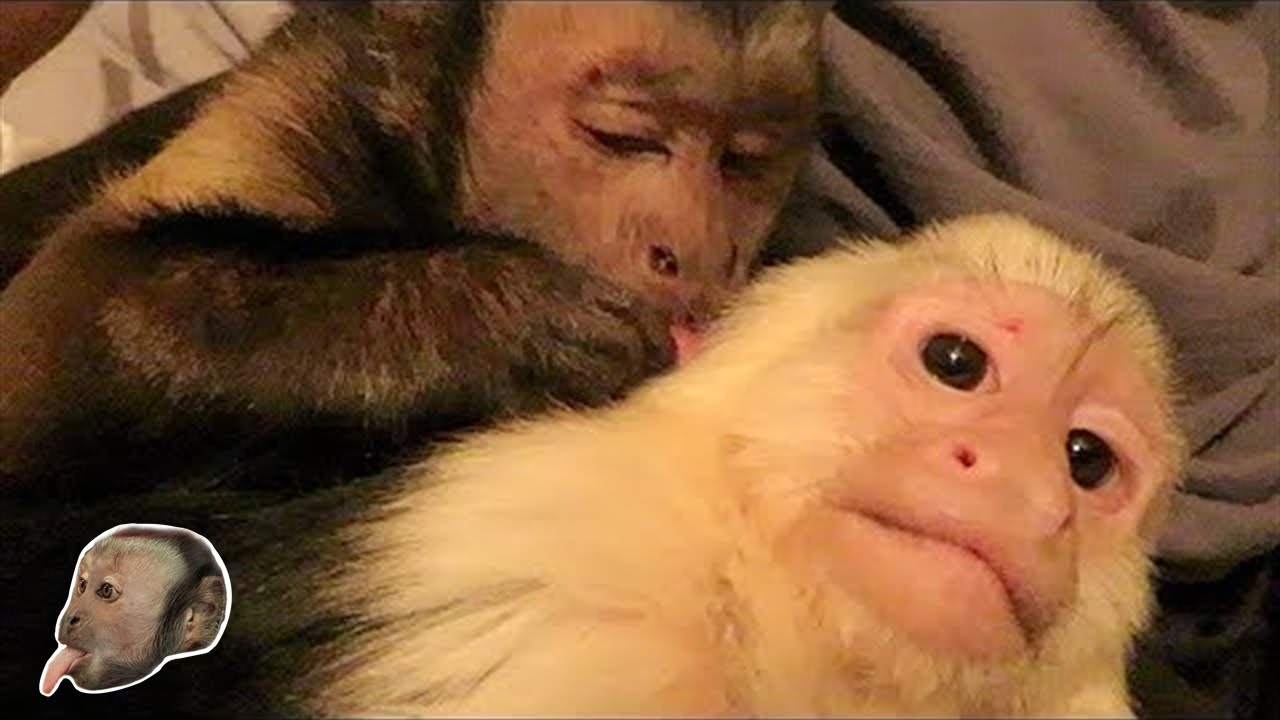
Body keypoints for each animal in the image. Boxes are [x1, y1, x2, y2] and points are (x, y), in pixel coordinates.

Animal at [0, 1, 827, 495]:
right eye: (622, 137)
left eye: (745, 161)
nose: (697, 253)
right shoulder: (309, 97)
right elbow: (47, 334)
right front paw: (500, 321)